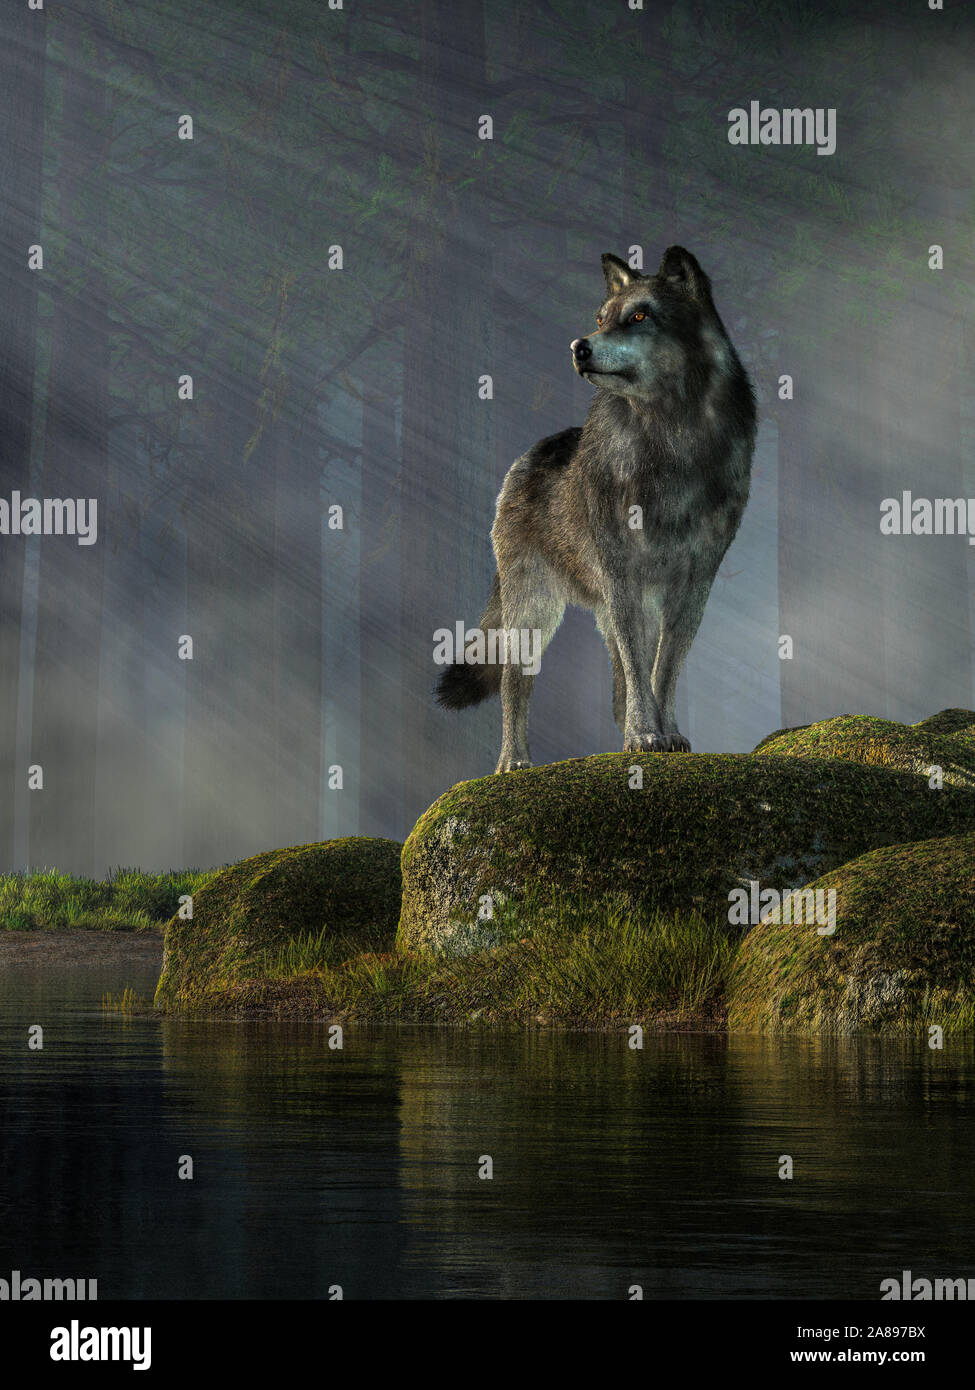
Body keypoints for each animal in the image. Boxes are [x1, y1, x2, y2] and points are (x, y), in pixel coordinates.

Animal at [435, 245, 757, 772]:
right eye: (601, 319)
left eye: (639, 316)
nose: (578, 346)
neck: (673, 444)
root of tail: (527, 456)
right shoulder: (623, 577)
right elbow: (640, 669)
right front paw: (645, 736)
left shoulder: (694, 584)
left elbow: (662, 669)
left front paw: (665, 735)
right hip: (534, 614)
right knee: (513, 685)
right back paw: (512, 763)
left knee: (618, 690)